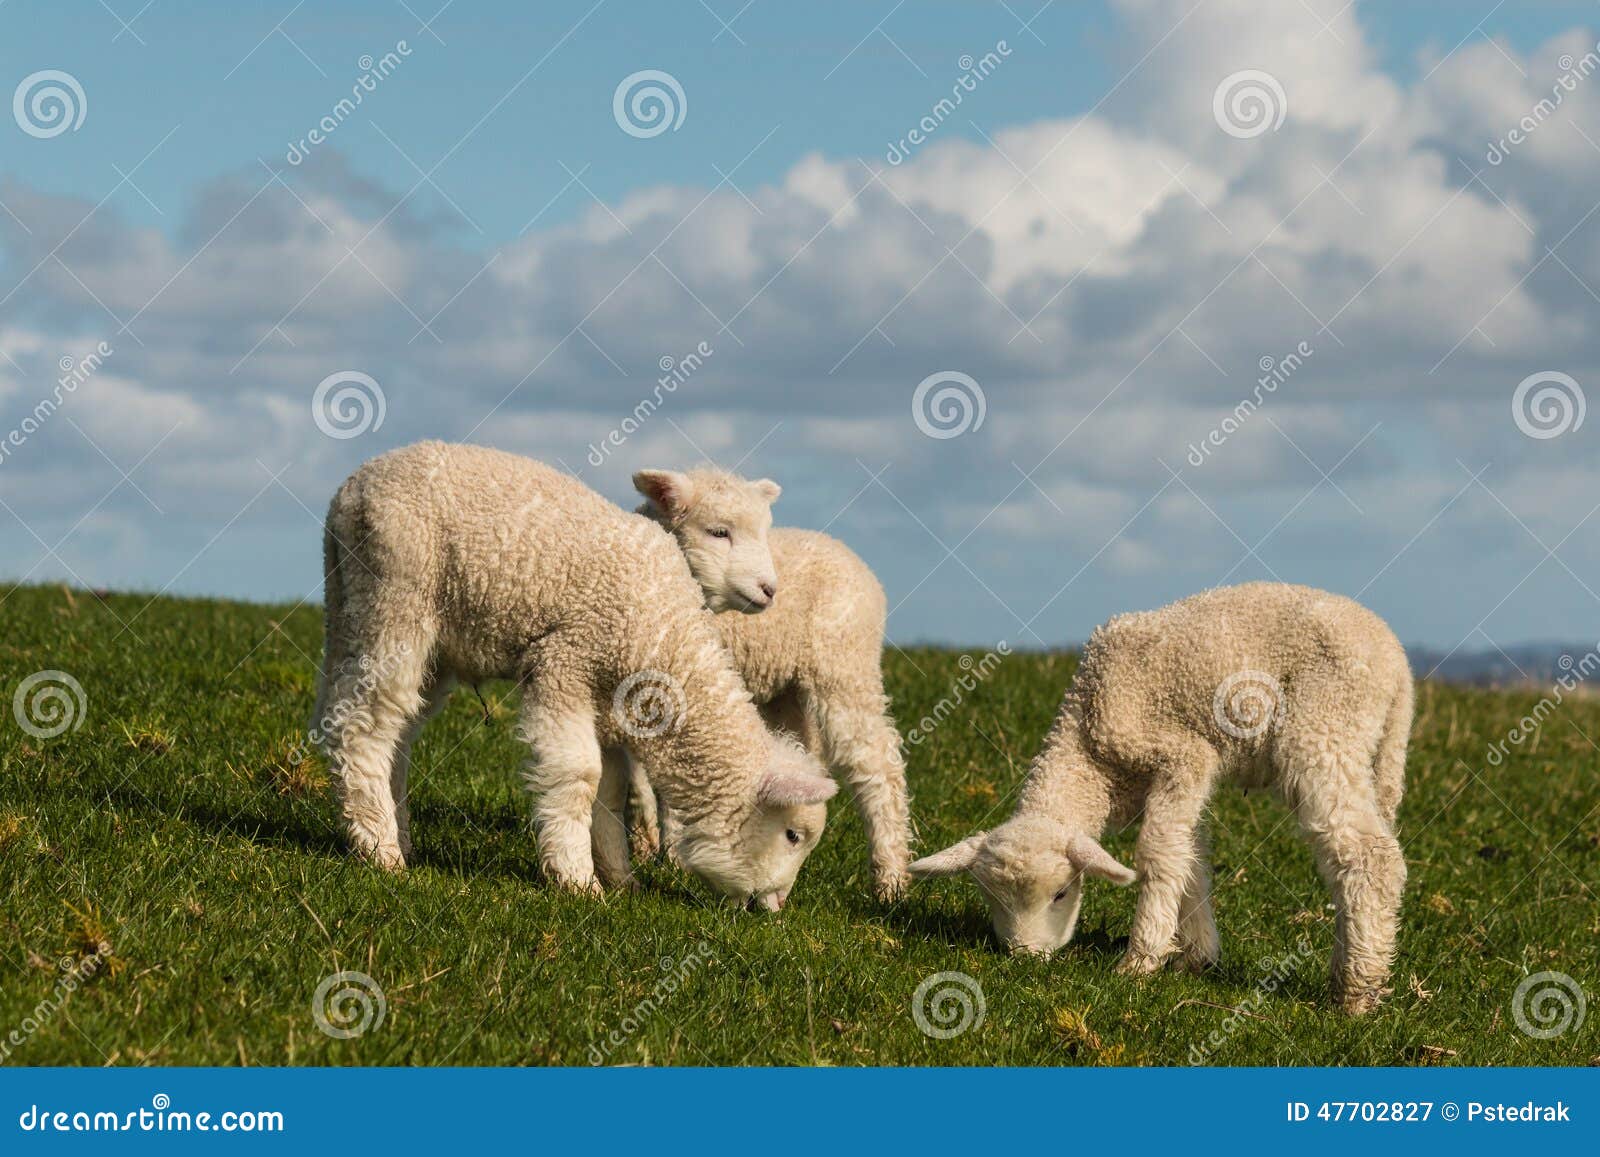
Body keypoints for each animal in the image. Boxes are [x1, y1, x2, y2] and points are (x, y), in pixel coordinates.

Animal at [312, 441, 838, 908]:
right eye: (792, 834)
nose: (774, 907)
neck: (666, 636)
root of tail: (351, 489)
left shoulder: (612, 703)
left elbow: (610, 790)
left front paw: (621, 879)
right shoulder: (564, 663)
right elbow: (579, 775)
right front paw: (576, 880)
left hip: (378, 619)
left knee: (391, 731)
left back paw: (396, 834)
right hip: (395, 597)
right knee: (362, 726)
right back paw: (379, 850)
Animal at [617, 466, 912, 900]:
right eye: (718, 532)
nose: (769, 590)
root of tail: (851, 556)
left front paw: (673, 858)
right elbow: (638, 775)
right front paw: (644, 845)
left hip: (844, 666)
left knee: (877, 764)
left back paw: (890, 879)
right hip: (790, 693)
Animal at [909, 582, 1412, 1014]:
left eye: (1061, 894)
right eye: (991, 899)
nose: (1025, 958)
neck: (1090, 748)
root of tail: (1397, 661)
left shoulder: (1183, 754)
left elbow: (1157, 852)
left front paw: (1140, 961)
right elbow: (1188, 857)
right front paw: (1197, 955)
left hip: (1324, 726)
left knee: (1369, 857)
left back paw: (1356, 993)